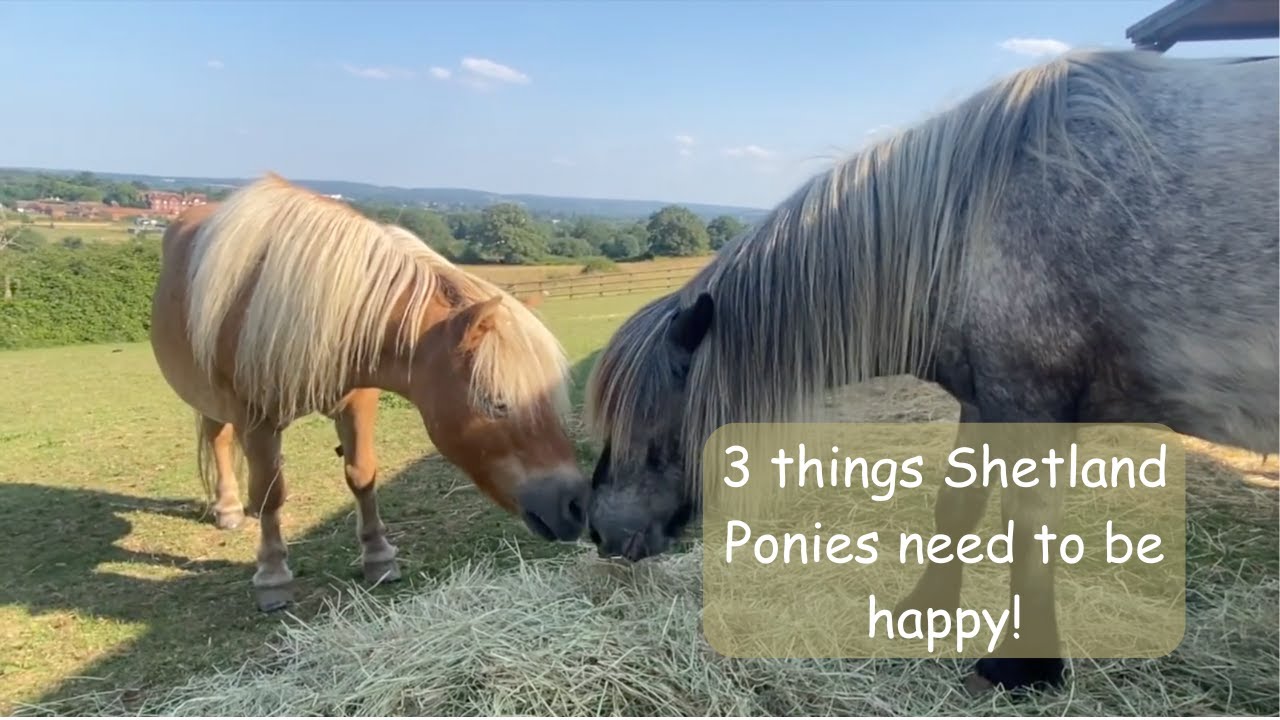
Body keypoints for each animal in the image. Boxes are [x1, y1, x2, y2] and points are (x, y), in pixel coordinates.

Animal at [149, 173, 589, 612]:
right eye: (498, 403)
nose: (575, 506)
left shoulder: (358, 401)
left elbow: (361, 475)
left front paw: (378, 557)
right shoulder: (257, 417)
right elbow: (272, 492)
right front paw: (273, 576)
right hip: (211, 400)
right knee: (220, 441)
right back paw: (227, 507)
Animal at [581, 49, 1279, 694]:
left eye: (651, 419)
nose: (600, 531)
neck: (975, 224)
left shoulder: (1030, 402)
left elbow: (1028, 525)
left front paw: (1022, 665)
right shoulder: (983, 400)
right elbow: (957, 507)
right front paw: (924, 612)